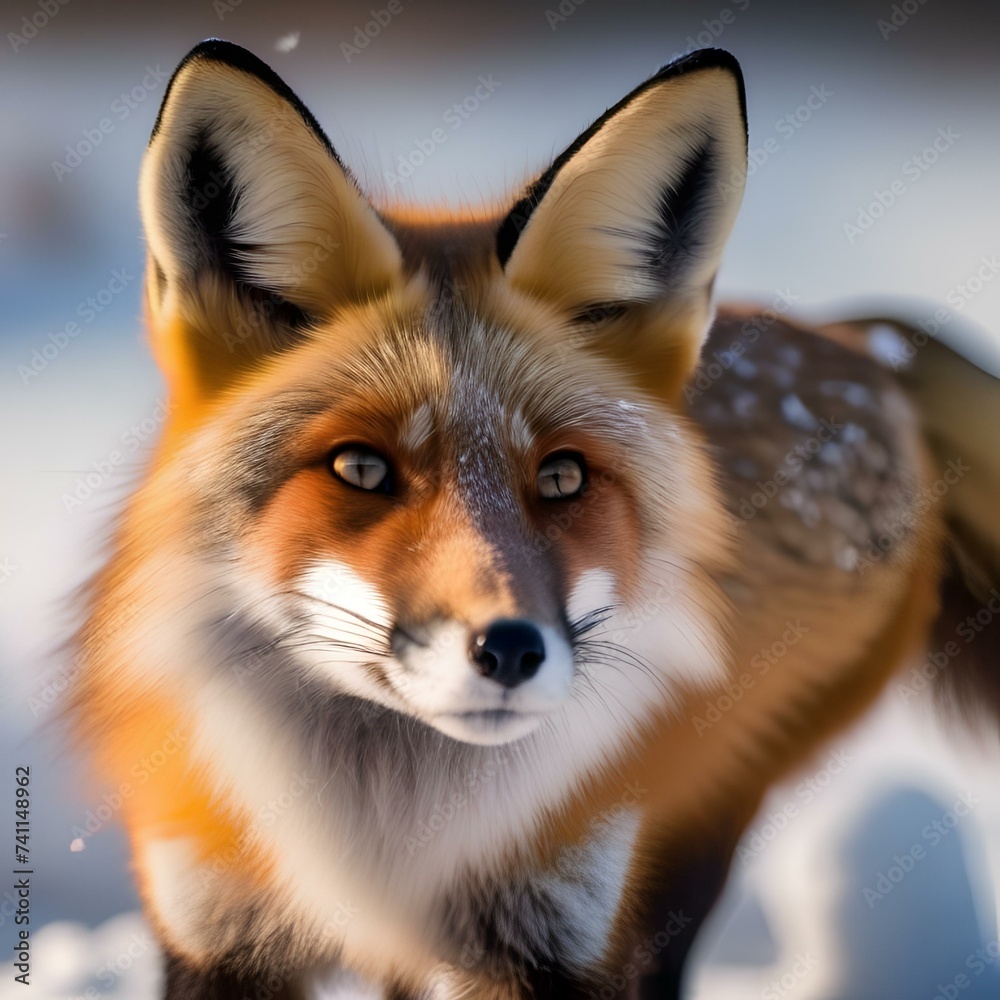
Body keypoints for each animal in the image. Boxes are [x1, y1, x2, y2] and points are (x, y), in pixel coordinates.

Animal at [69, 38, 1000, 1000]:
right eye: (361, 468)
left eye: (561, 476)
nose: (511, 651)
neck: (381, 839)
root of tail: (858, 341)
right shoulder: (216, 924)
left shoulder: (555, 932)